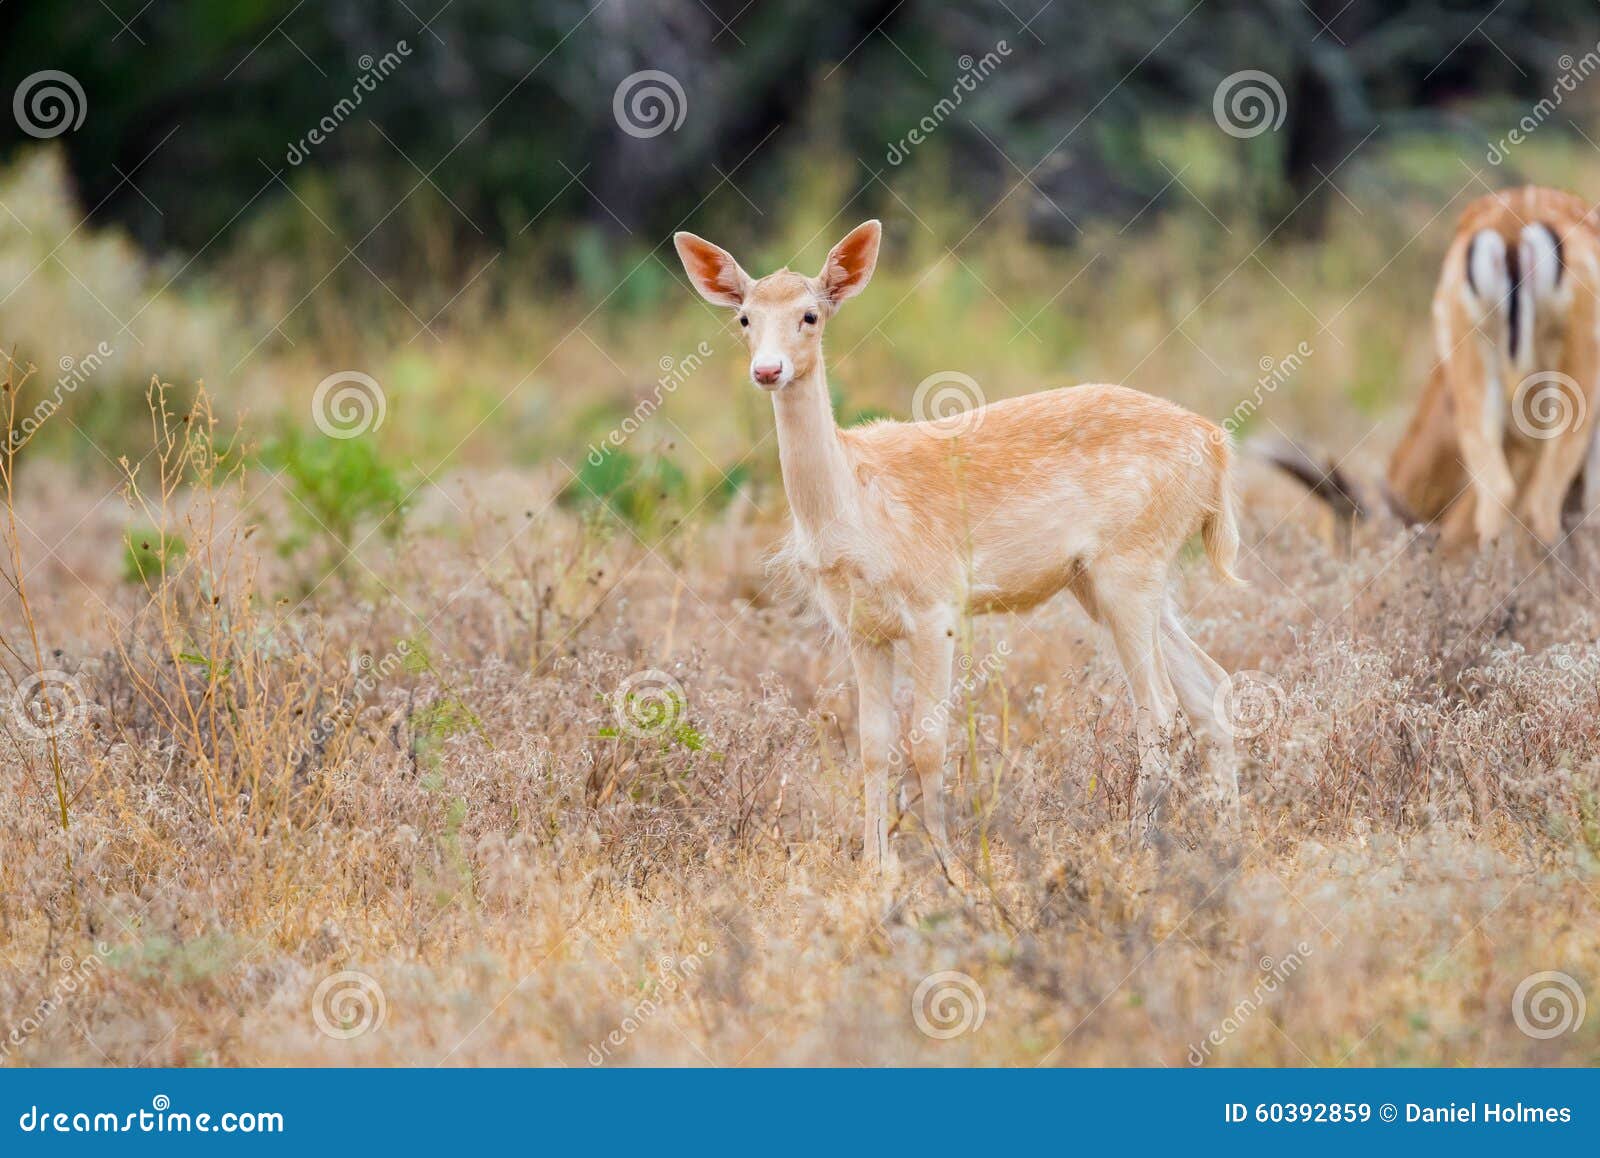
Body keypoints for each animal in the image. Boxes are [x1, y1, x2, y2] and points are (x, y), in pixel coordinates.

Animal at [674, 220, 1244, 877]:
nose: (769, 370)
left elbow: (927, 742)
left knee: (1160, 706)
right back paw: (1225, 836)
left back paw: (1139, 846)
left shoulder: (934, 607)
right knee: (1209, 687)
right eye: (744, 317)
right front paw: (876, 869)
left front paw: (950, 867)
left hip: (1132, 561)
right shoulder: (858, 627)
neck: (853, 508)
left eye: (810, 315)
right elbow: (872, 746)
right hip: (1103, 580)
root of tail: (1216, 445)